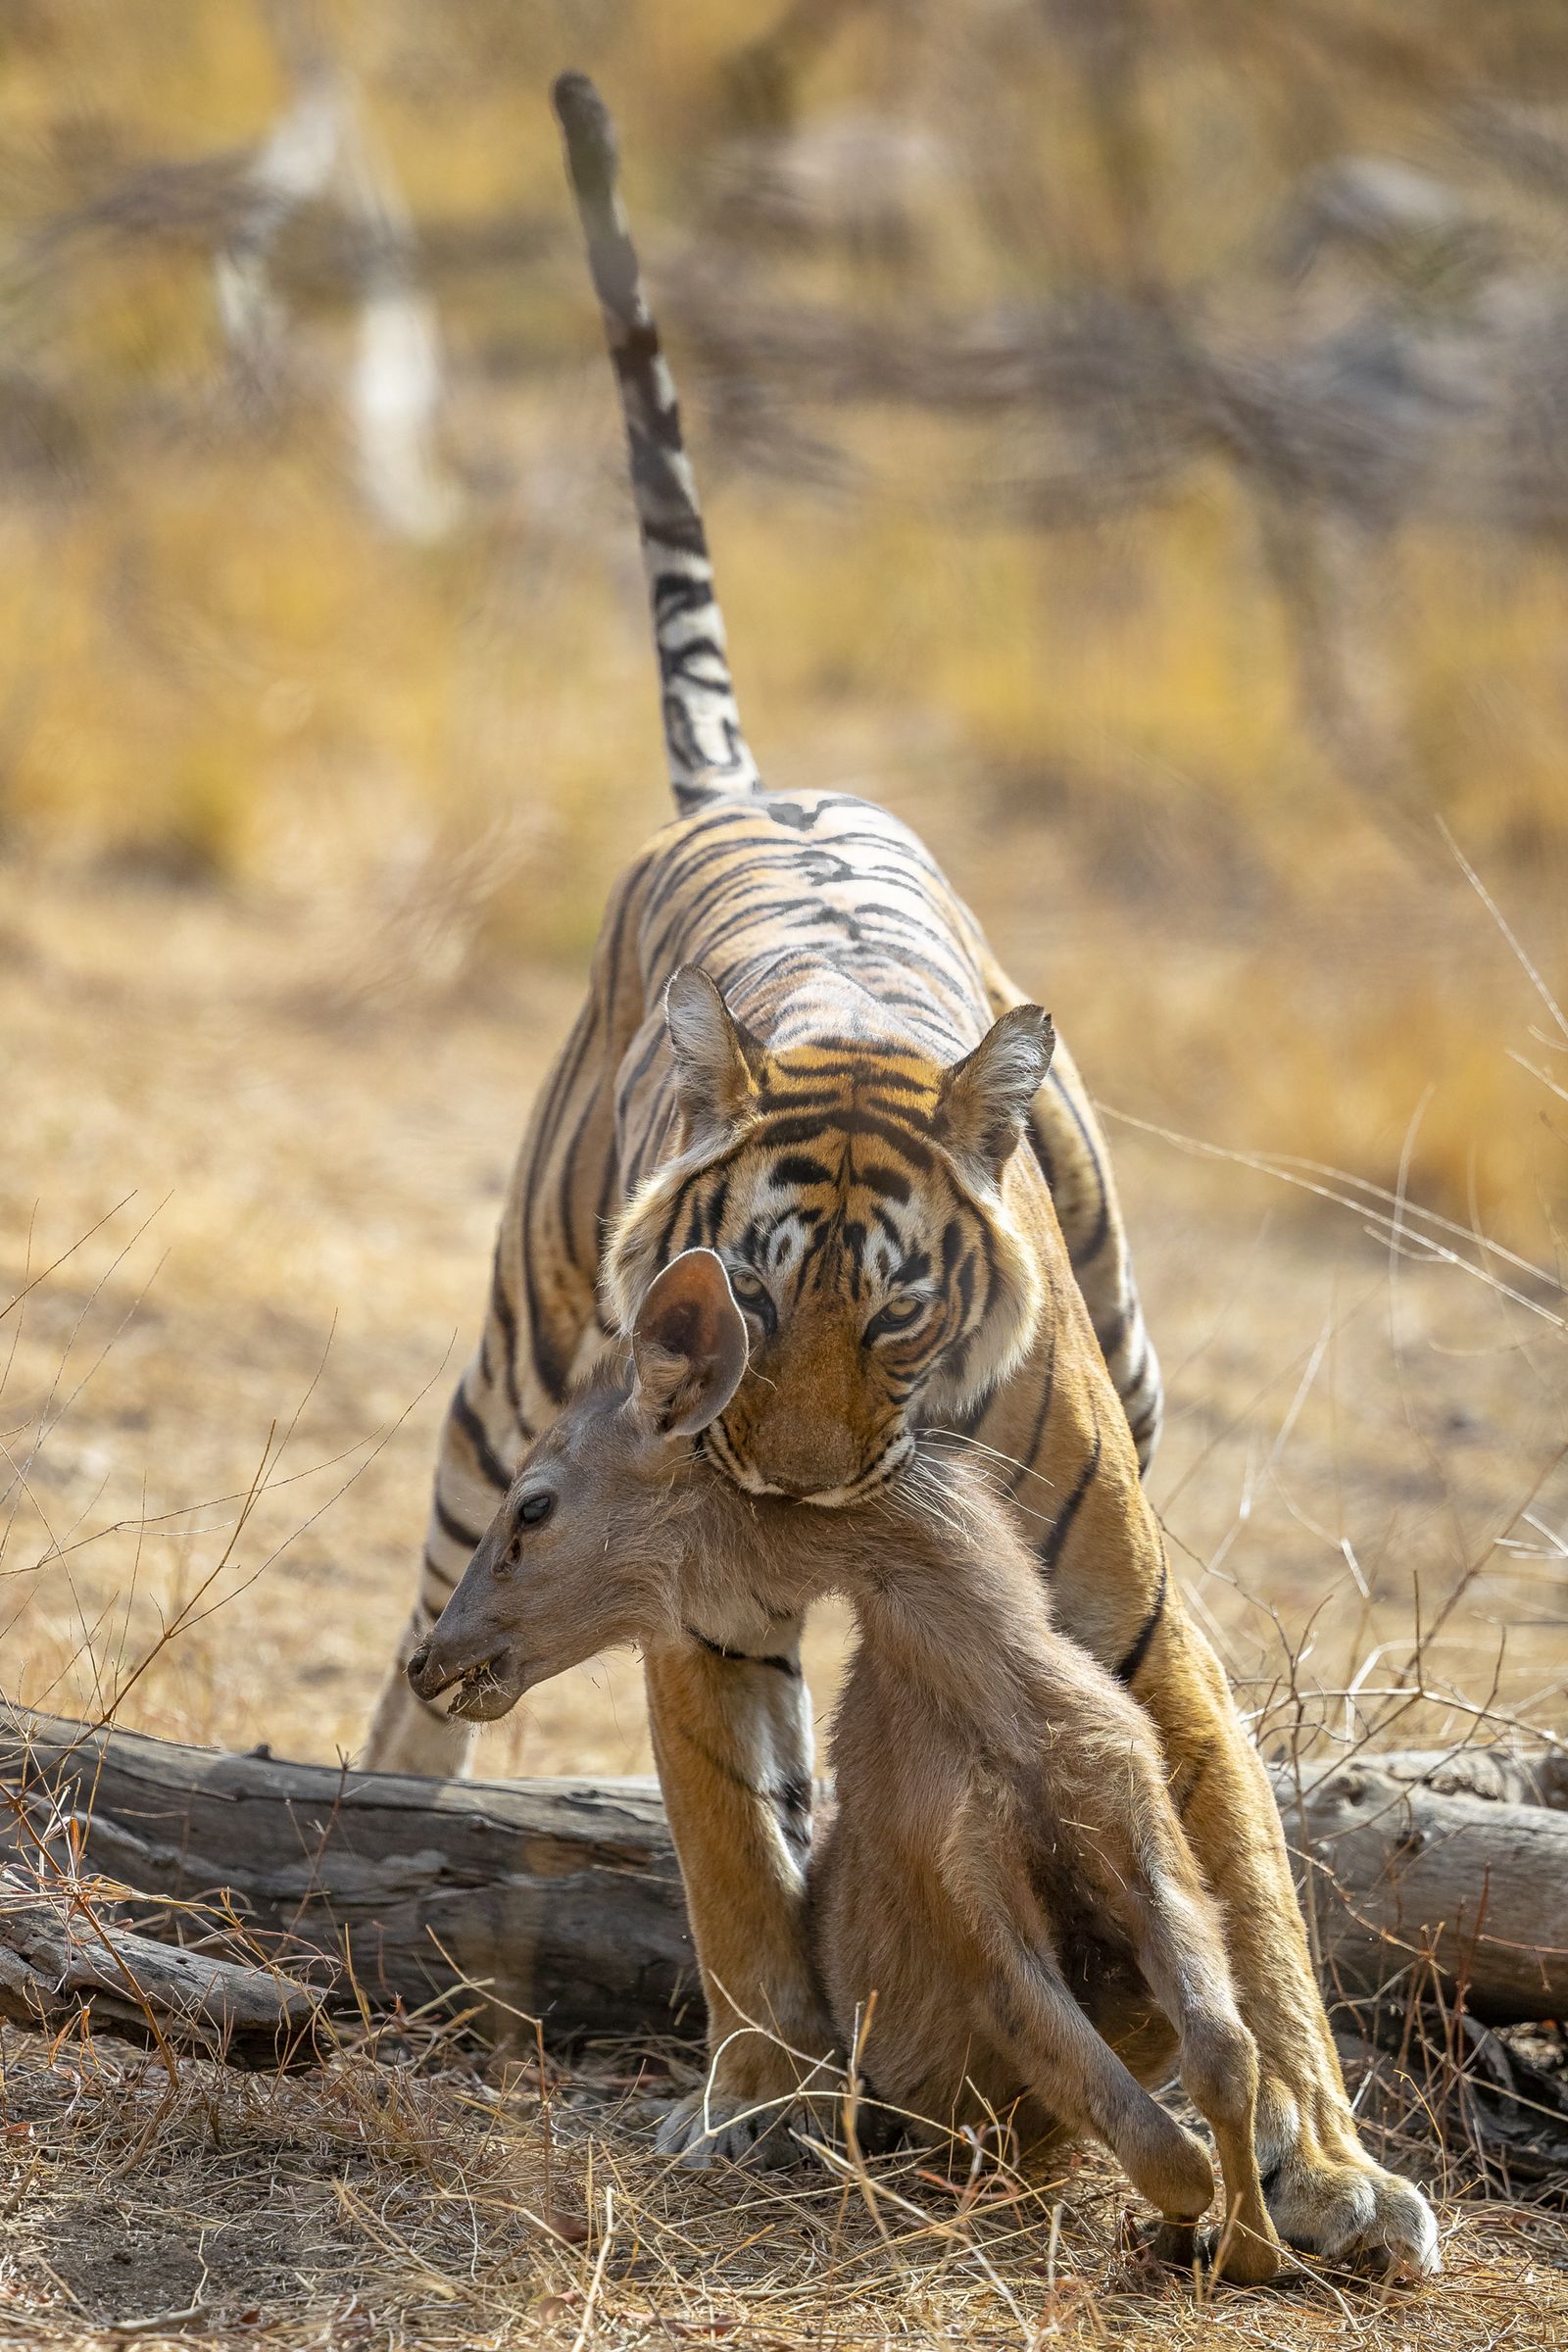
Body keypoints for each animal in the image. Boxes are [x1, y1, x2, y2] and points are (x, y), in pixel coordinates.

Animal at [362, 71, 1438, 2276]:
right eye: (758, 1297)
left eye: (901, 1312)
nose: (788, 1487)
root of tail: (763, 785)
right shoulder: (689, 1601)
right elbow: (733, 1866)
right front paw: (771, 2098)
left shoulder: (1130, 1635)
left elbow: (1248, 1891)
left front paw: (1322, 2164)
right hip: (496, 1395)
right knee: (427, 1671)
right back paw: (389, 1818)